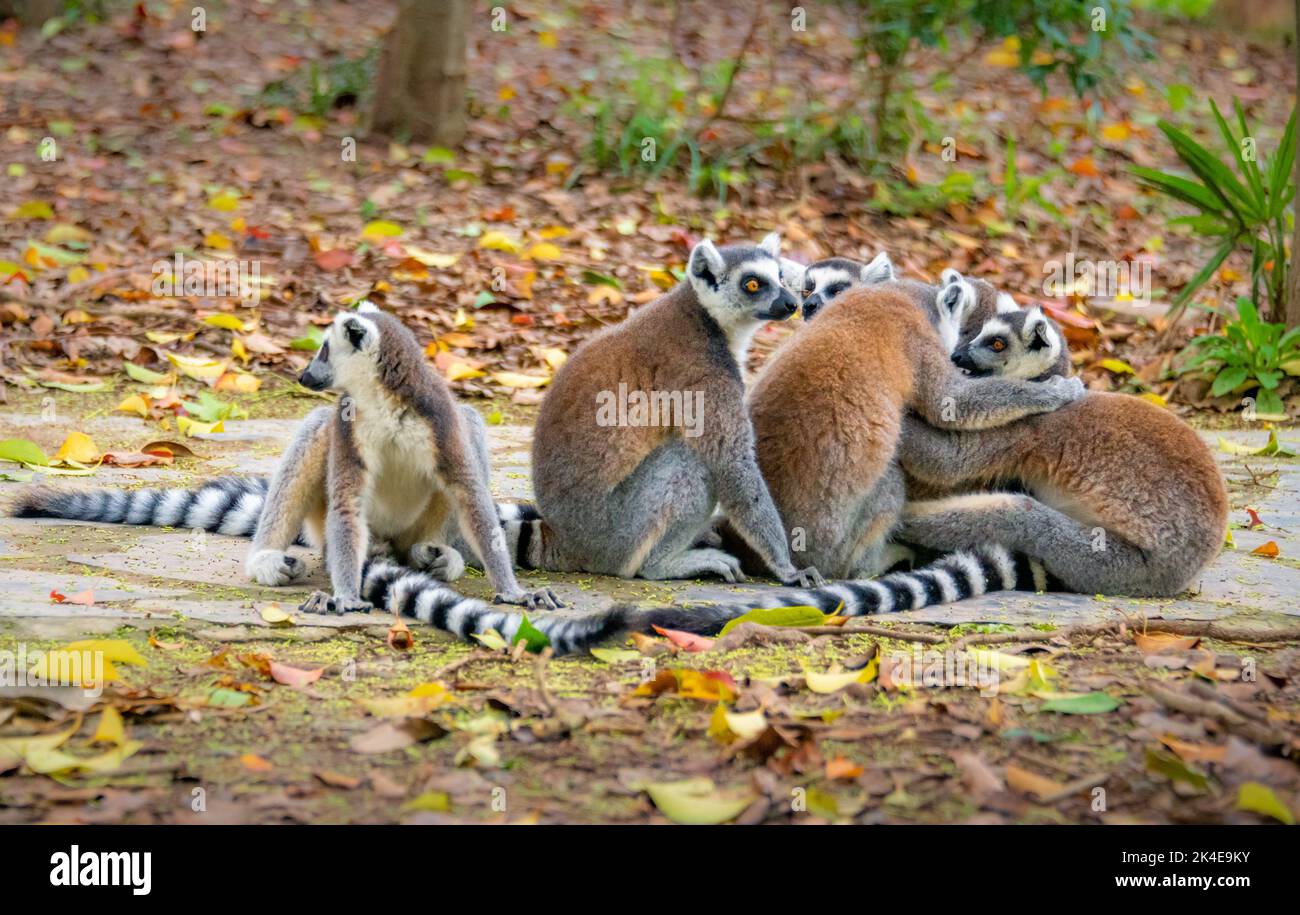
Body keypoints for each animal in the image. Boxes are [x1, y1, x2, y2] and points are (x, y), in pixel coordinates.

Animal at [12, 303, 560, 613]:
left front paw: (513, 592)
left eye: (323, 351)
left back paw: (436, 555)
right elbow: (345, 502)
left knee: (469, 424)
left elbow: (471, 496)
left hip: (422, 509)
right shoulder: (347, 424)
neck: (384, 402)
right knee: (316, 437)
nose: (302, 375)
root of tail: (388, 541)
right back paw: (266, 560)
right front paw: (346, 595)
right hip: (322, 513)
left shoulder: (437, 417)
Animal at [514, 233, 823, 587]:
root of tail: (563, 537)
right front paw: (787, 567)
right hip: (616, 531)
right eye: (753, 284)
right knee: (688, 464)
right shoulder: (703, 376)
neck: (706, 318)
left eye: (781, 278)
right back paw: (665, 564)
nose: (790, 304)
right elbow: (731, 463)